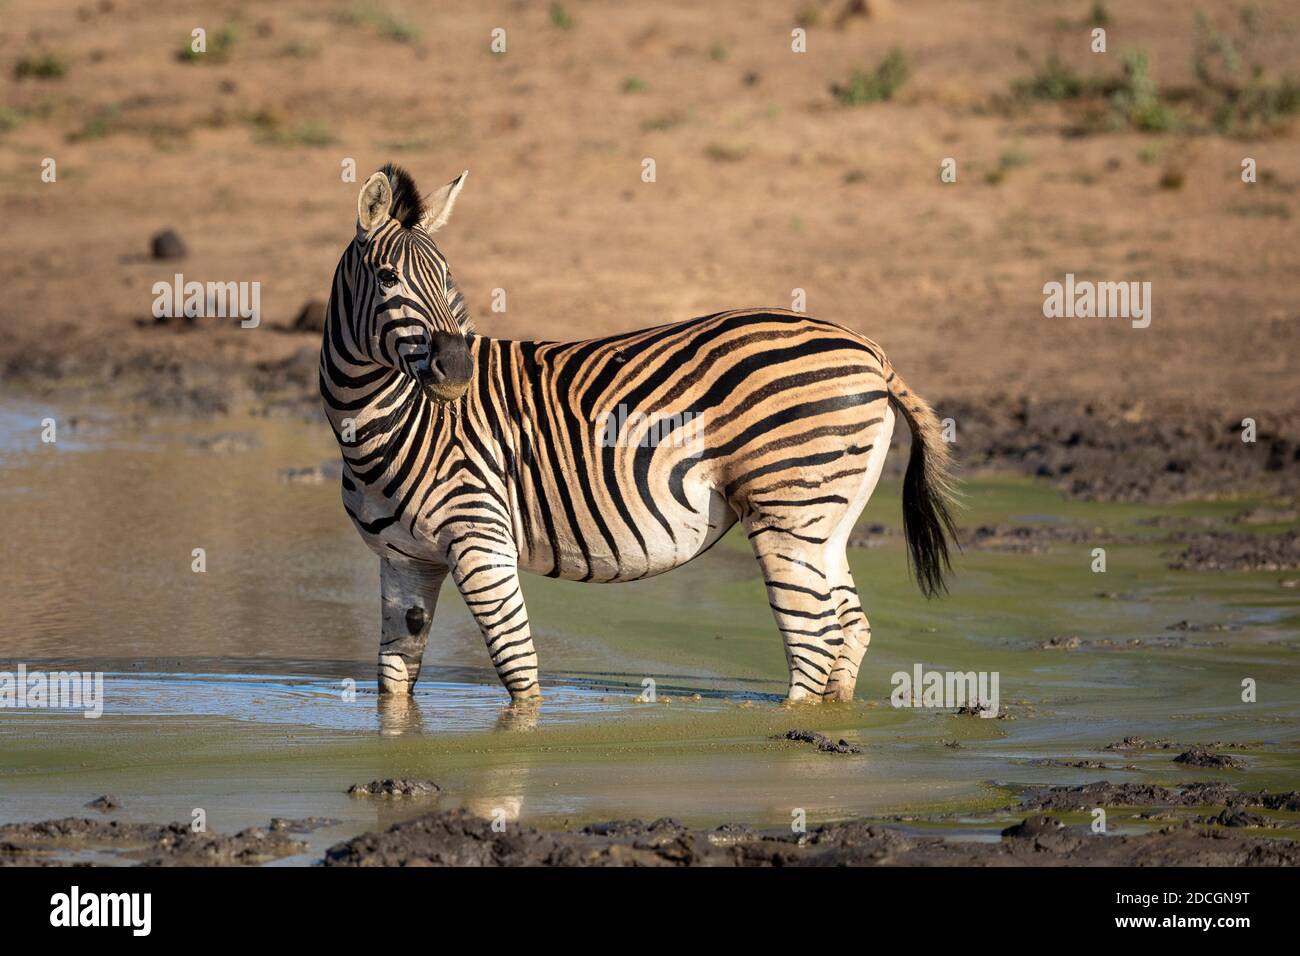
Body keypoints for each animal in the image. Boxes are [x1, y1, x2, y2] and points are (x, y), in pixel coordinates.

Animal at [320, 165, 959, 705]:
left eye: (449, 279)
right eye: (387, 277)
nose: (458, 372)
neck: (379, 424)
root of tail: (871, 351)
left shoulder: (482, 539)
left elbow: (519, 672)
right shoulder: (404, 560)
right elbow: (394, 679)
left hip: (786, 509)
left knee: (815, 640)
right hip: (826, 519)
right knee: (850, 628)